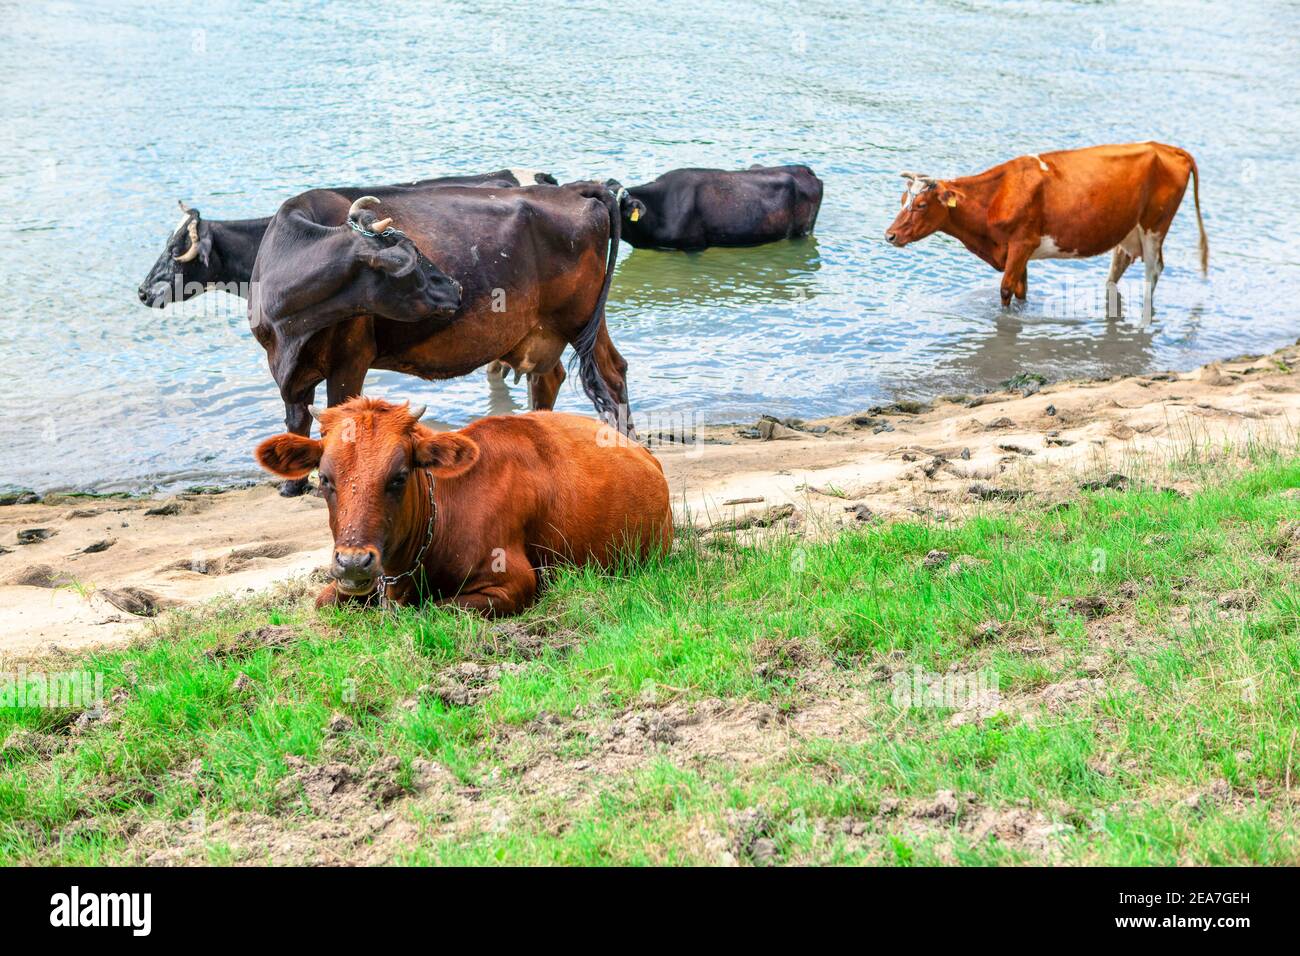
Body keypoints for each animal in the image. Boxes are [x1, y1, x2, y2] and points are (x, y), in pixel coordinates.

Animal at [250, 179, 634, 495]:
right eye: (407, 264)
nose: (456, 287)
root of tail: (574, 189)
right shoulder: (286, 368)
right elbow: (296, 420)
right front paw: (292, 485)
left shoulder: (350, 359)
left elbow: (339, 415)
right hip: (541, 329)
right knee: (549, 378)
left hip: (580, 319)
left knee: (612, 375)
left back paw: (626, 448)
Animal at [254, 398, 672, 615]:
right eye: (324, 479)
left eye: (399, 476)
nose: (354, 561)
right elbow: (323, 600)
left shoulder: (514, 582)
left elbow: (439, 608)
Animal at [884, 142, 1207, 320]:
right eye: (902, 200)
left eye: (921, 204)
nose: (890, 235)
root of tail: (1165, 147)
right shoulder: (1017, 250)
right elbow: (1020, 290)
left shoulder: (1021, 243)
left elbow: (1005, 289)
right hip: (1129, 230)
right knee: (1118, 267)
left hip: (1155, 227)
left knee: (1153, 269)